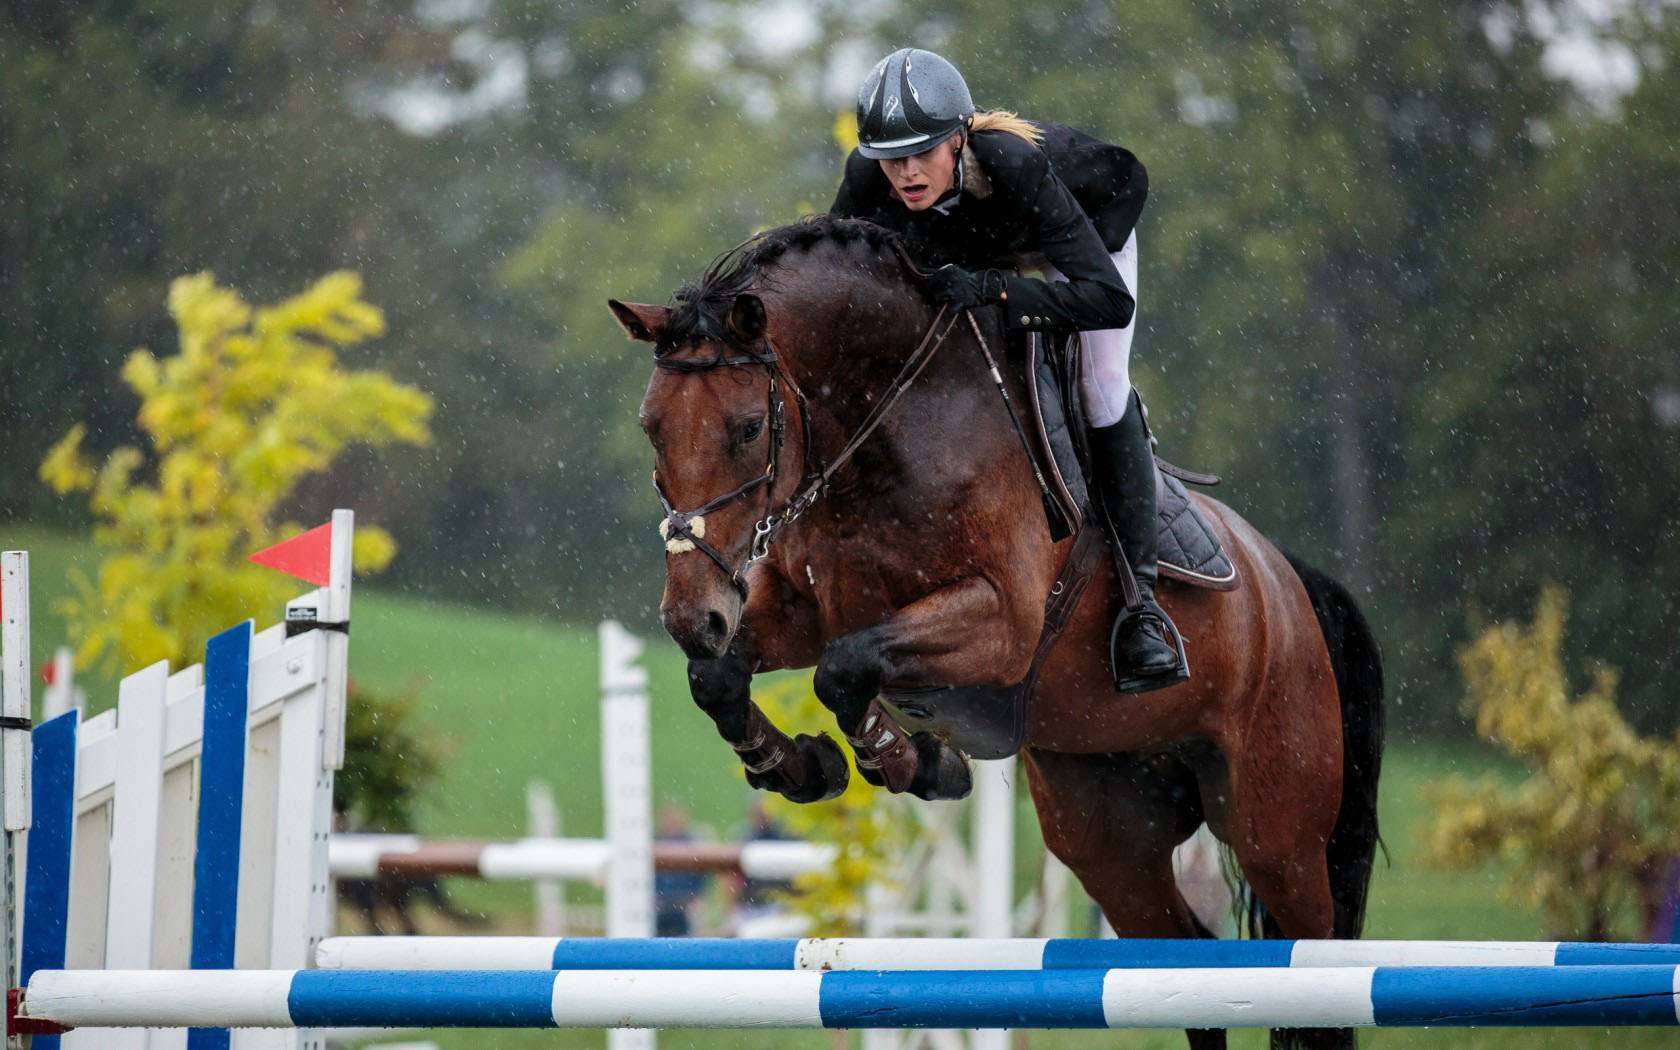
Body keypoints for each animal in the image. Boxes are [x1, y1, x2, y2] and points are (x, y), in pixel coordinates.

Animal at [610, 215, 1384, 1050]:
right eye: (651, 429)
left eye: (749, 428)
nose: (692, 619)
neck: (888, 422)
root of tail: (1291, 583)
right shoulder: (796, 611)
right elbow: (722, 678)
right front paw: (799, 766)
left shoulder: (1000, 623)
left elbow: (844, 670)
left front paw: (912, 761)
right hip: (1108, 830)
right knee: (1185, 967)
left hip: (1278, 830)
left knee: (1312, 962)